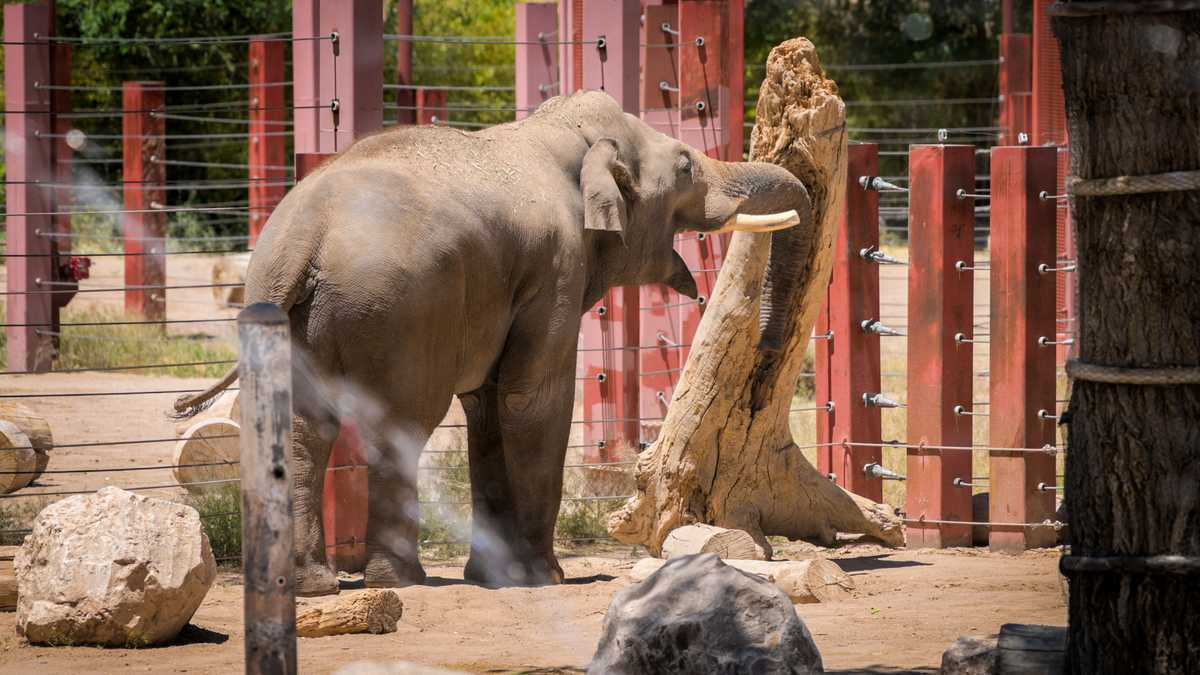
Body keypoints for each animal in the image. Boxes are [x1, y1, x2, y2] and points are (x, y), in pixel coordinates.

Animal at [175, 90, 811, 596]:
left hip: (301, 315)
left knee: (305, 429)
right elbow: (532, 398)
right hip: (404, 308)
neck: (559, 134)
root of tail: (304, 237)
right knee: (400, 424)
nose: (767, 351)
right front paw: (543, 577)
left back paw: (310, 584)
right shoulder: (557, 265)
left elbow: (486, 406)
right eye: (683, 165)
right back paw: (397, 579)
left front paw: (497, 576)